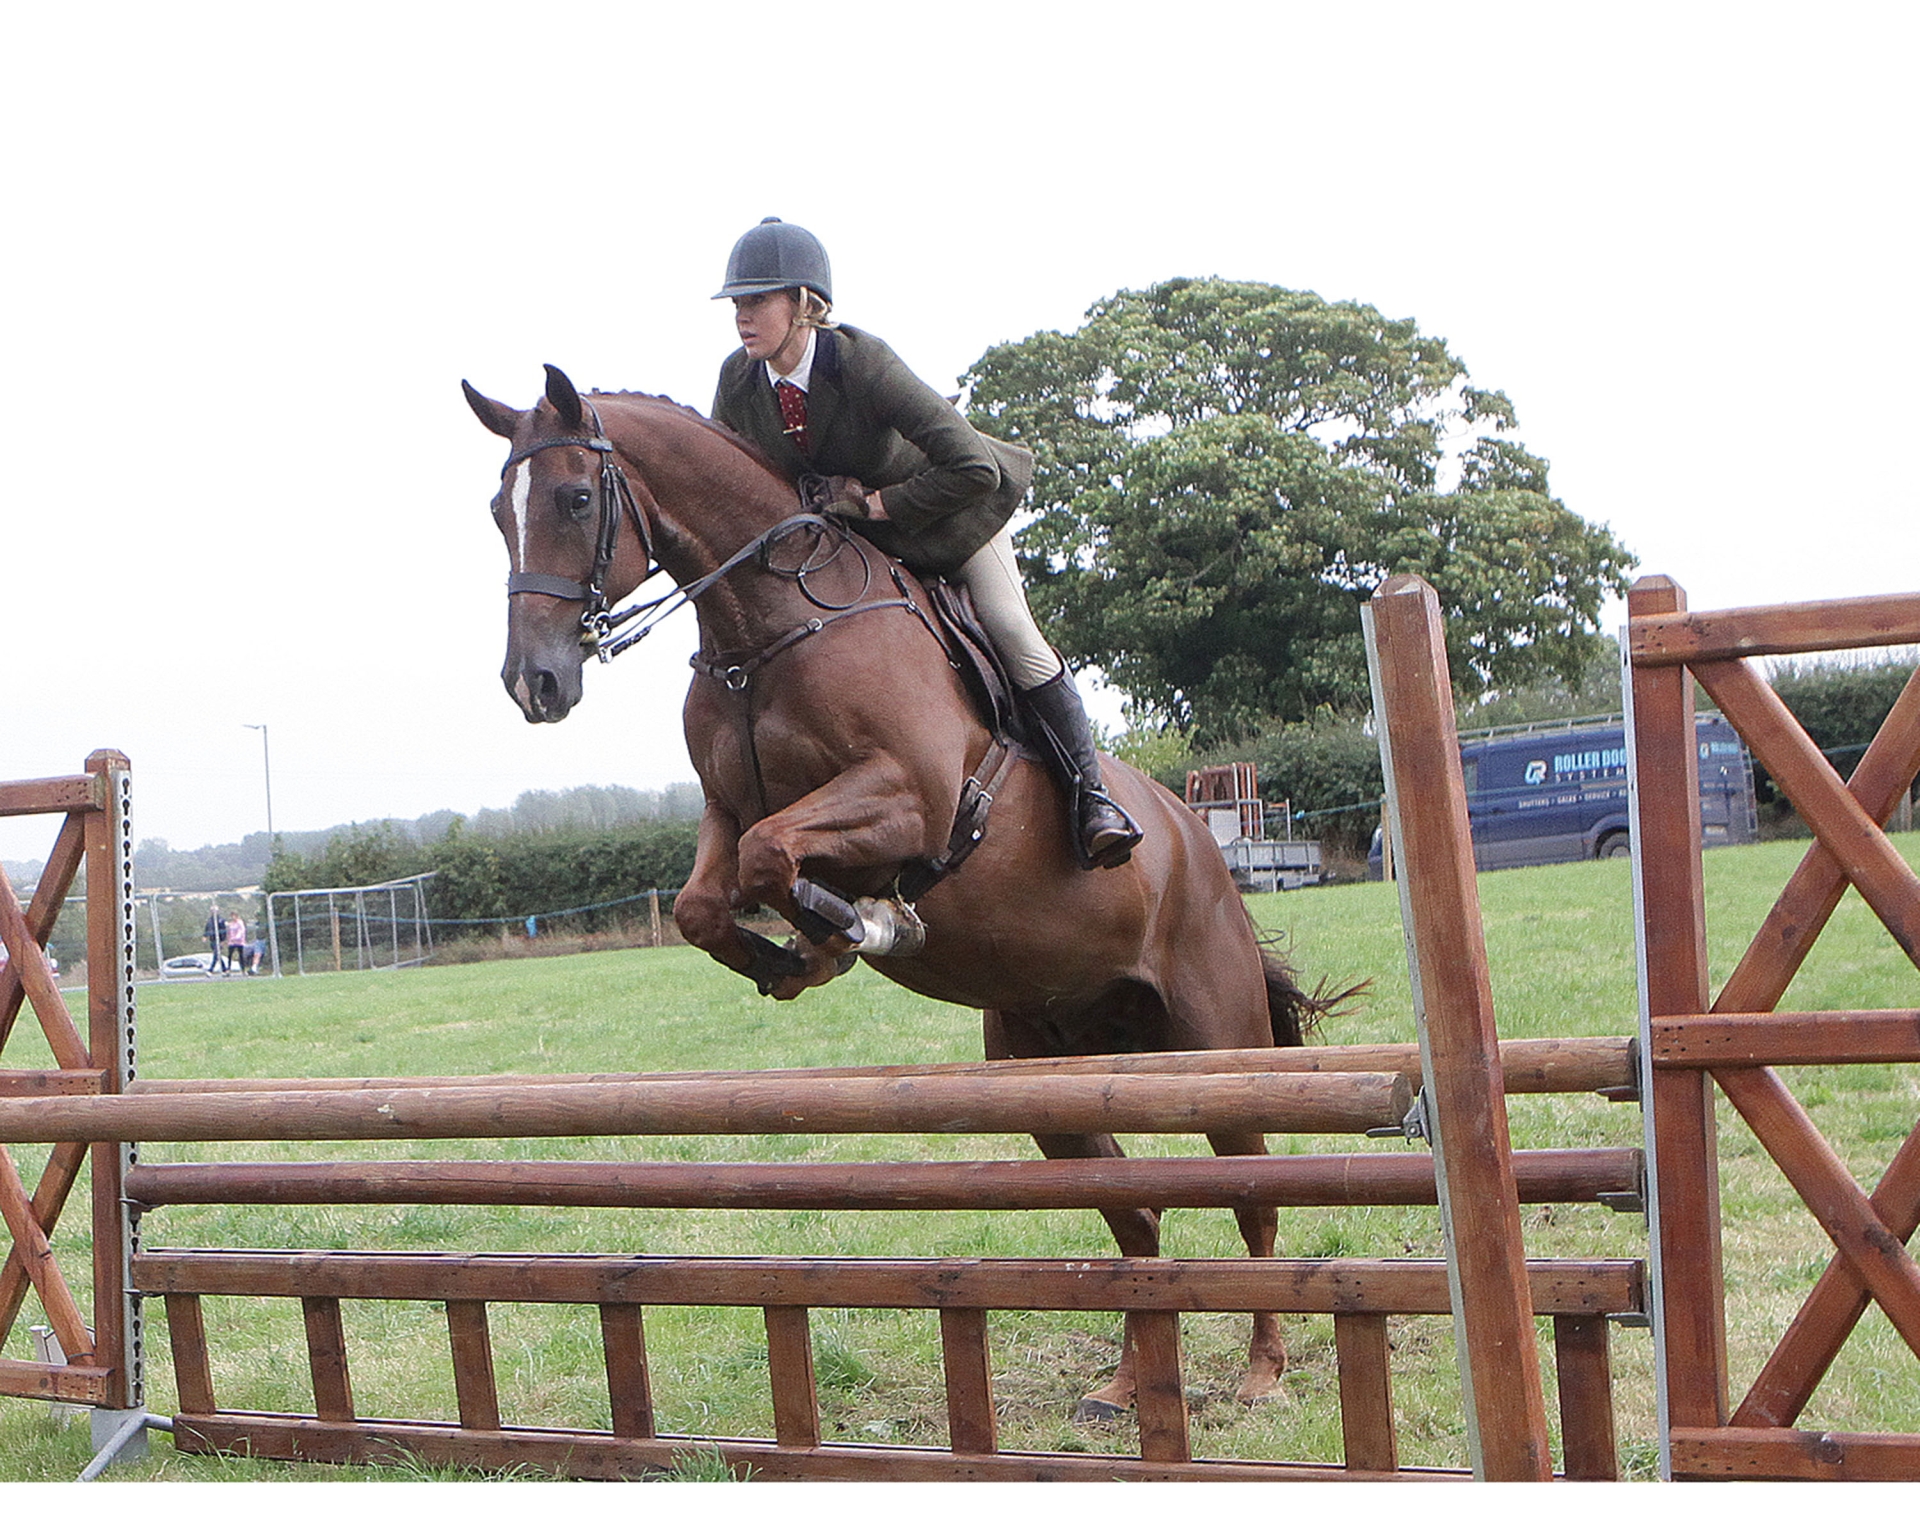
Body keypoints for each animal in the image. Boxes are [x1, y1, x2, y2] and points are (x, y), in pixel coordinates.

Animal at [463, 365, 1334, 1414]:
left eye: (575, 499)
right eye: (496, 513)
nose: (535, 683)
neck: (770, 623)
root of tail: (1197, 842)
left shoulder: (907, 800)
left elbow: (773, 858)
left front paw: (859, 928)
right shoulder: (725, 809)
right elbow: (710, 895)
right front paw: (799, 955)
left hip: (1215, 1043)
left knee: (1253, 1194)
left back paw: (1263, 1372)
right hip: (1048, 1073)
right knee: (1137, 1217)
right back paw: (1126, 1387)